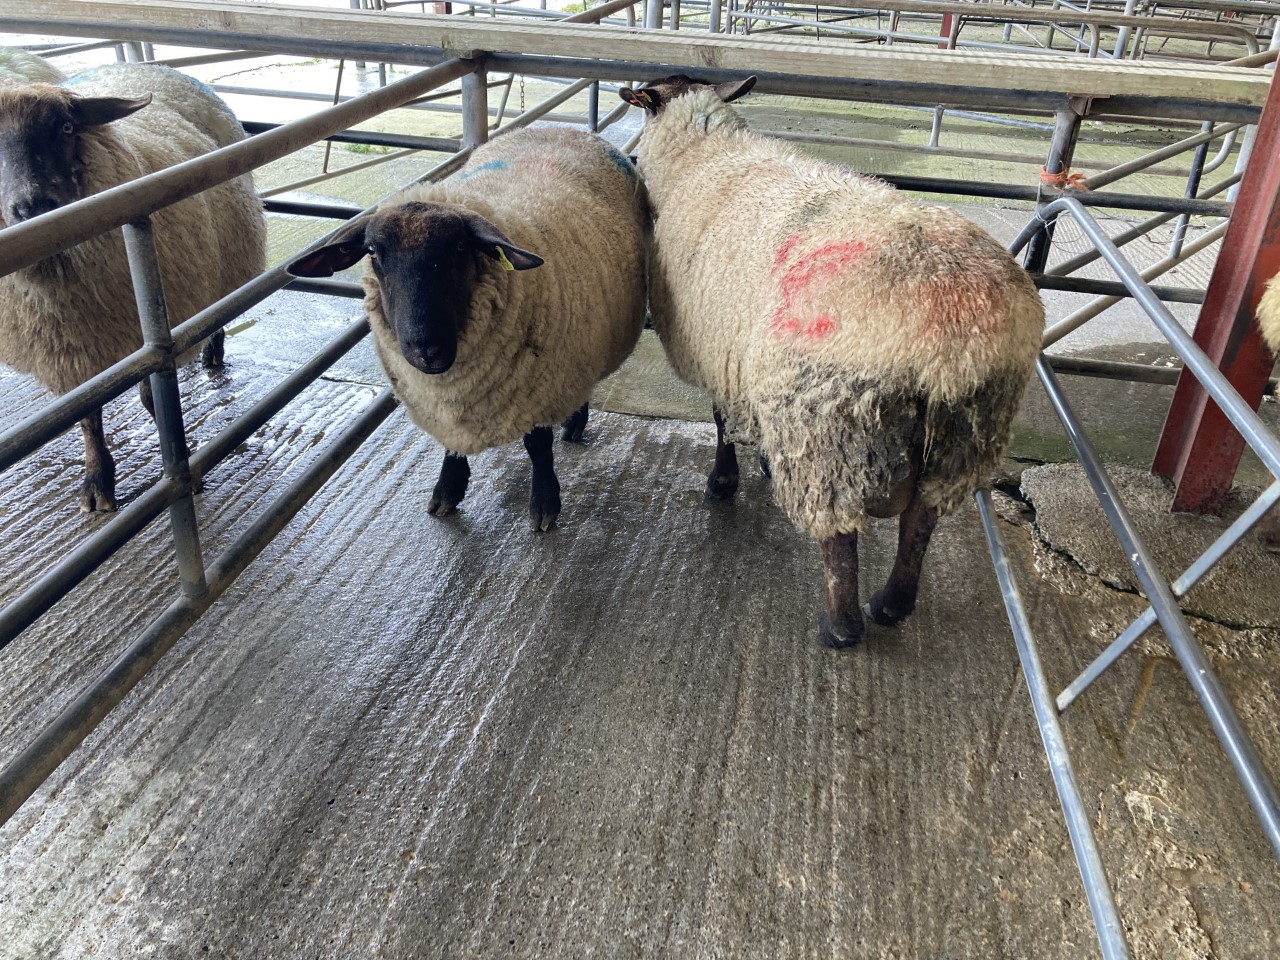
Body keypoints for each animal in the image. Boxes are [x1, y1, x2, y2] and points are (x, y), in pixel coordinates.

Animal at [0, 63, 266, 512]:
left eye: (66, 127)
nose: (33, 207)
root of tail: (144, 65)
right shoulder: (69, 351)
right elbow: (86, 416)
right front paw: (97, 481)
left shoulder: (147, 325)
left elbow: (150, 396)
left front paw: (182, 463)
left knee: (219, 310)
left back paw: (212, 353)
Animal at [286, 126, 648, 531]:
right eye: (374, 252)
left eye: (459, 247)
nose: (425, 348)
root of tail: (562, 127)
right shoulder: (448, 402)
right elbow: (452, 443)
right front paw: (448, 488)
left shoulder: (541, 386)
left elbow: (538, 446)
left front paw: (544, 502)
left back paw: (574, 422)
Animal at [619, 75, 1045, 647]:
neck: (704, 158)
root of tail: (948, 345)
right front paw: (764, 462)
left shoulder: (719, 353)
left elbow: (720, 420)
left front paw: (723, 482)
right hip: (964, 435)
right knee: (920, 521)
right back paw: (892, 604)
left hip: (830, 428)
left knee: (840, 539)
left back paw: (840, 627)